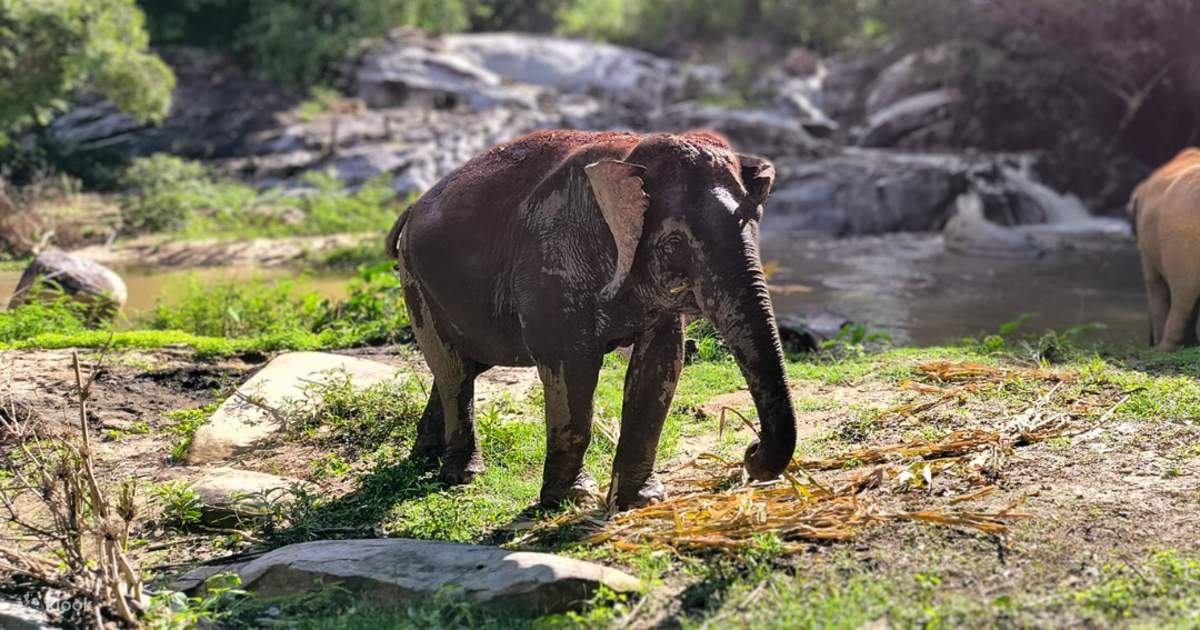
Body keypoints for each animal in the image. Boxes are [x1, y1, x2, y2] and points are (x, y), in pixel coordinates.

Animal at [385, 129, 797, 509]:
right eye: (674, 242)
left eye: (754, 226)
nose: (750, 453)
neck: (630, 160)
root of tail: (413, 206)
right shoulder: (552, 262)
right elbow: (572, 368)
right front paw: (572, 499)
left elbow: (661, 365)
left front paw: (640, 501)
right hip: (416, 279)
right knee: (454, 369)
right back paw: (462, 474)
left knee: (464, 367)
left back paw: (425, 455)